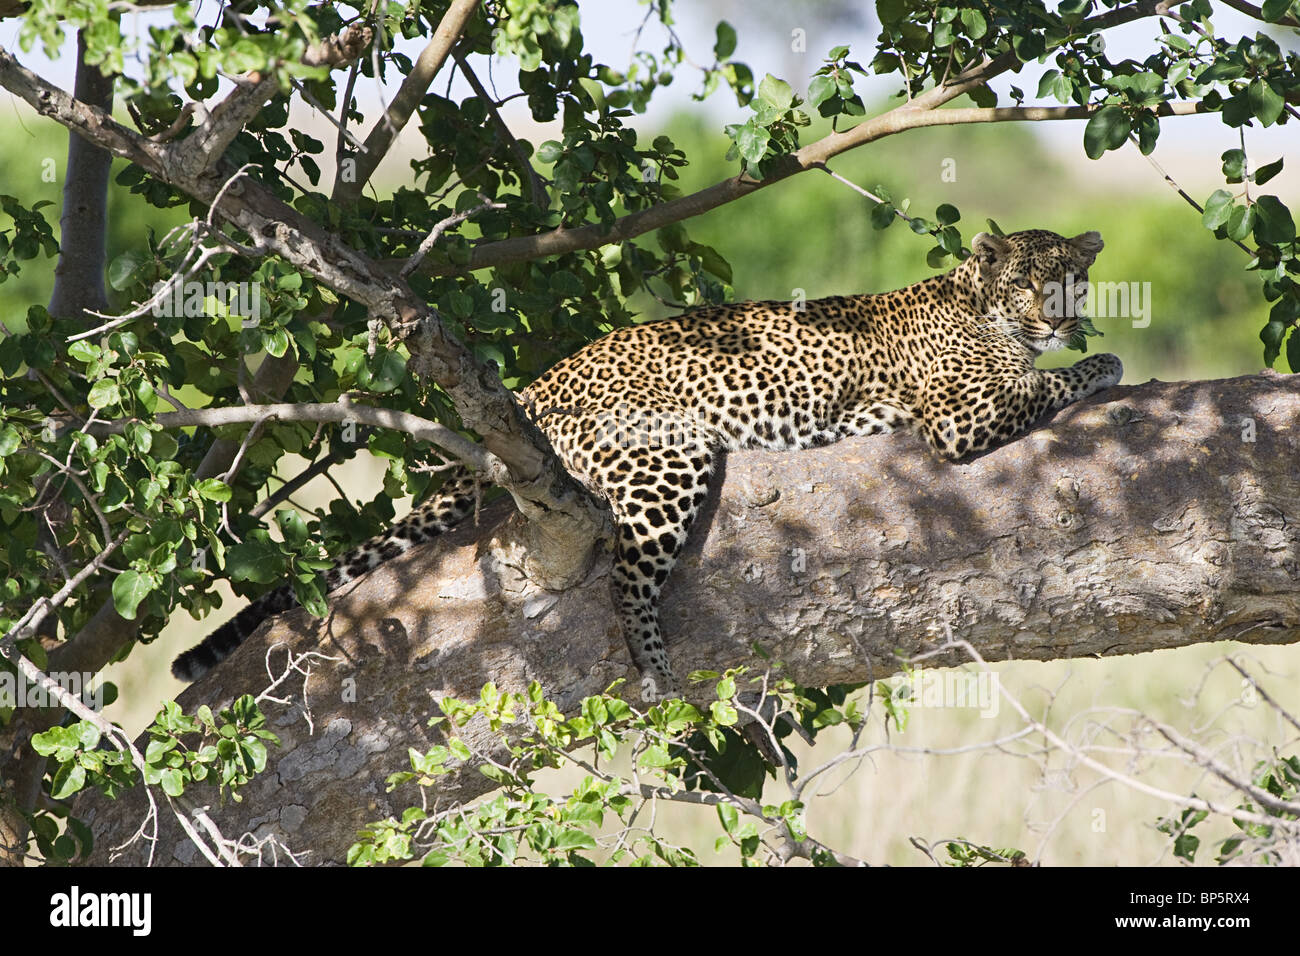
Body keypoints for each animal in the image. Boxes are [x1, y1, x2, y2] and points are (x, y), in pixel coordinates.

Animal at [172, 228, 1124, 695]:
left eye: (1066, 279)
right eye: (1024, 284)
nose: (1055, 318)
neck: (975, 301)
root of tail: (536, 386)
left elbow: (1048, 373)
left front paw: (1087, 351)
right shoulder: (963, 418)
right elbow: (1050, 382)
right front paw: (1103, 363)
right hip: (668, 459)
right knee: (629, 578)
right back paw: (656, 666)